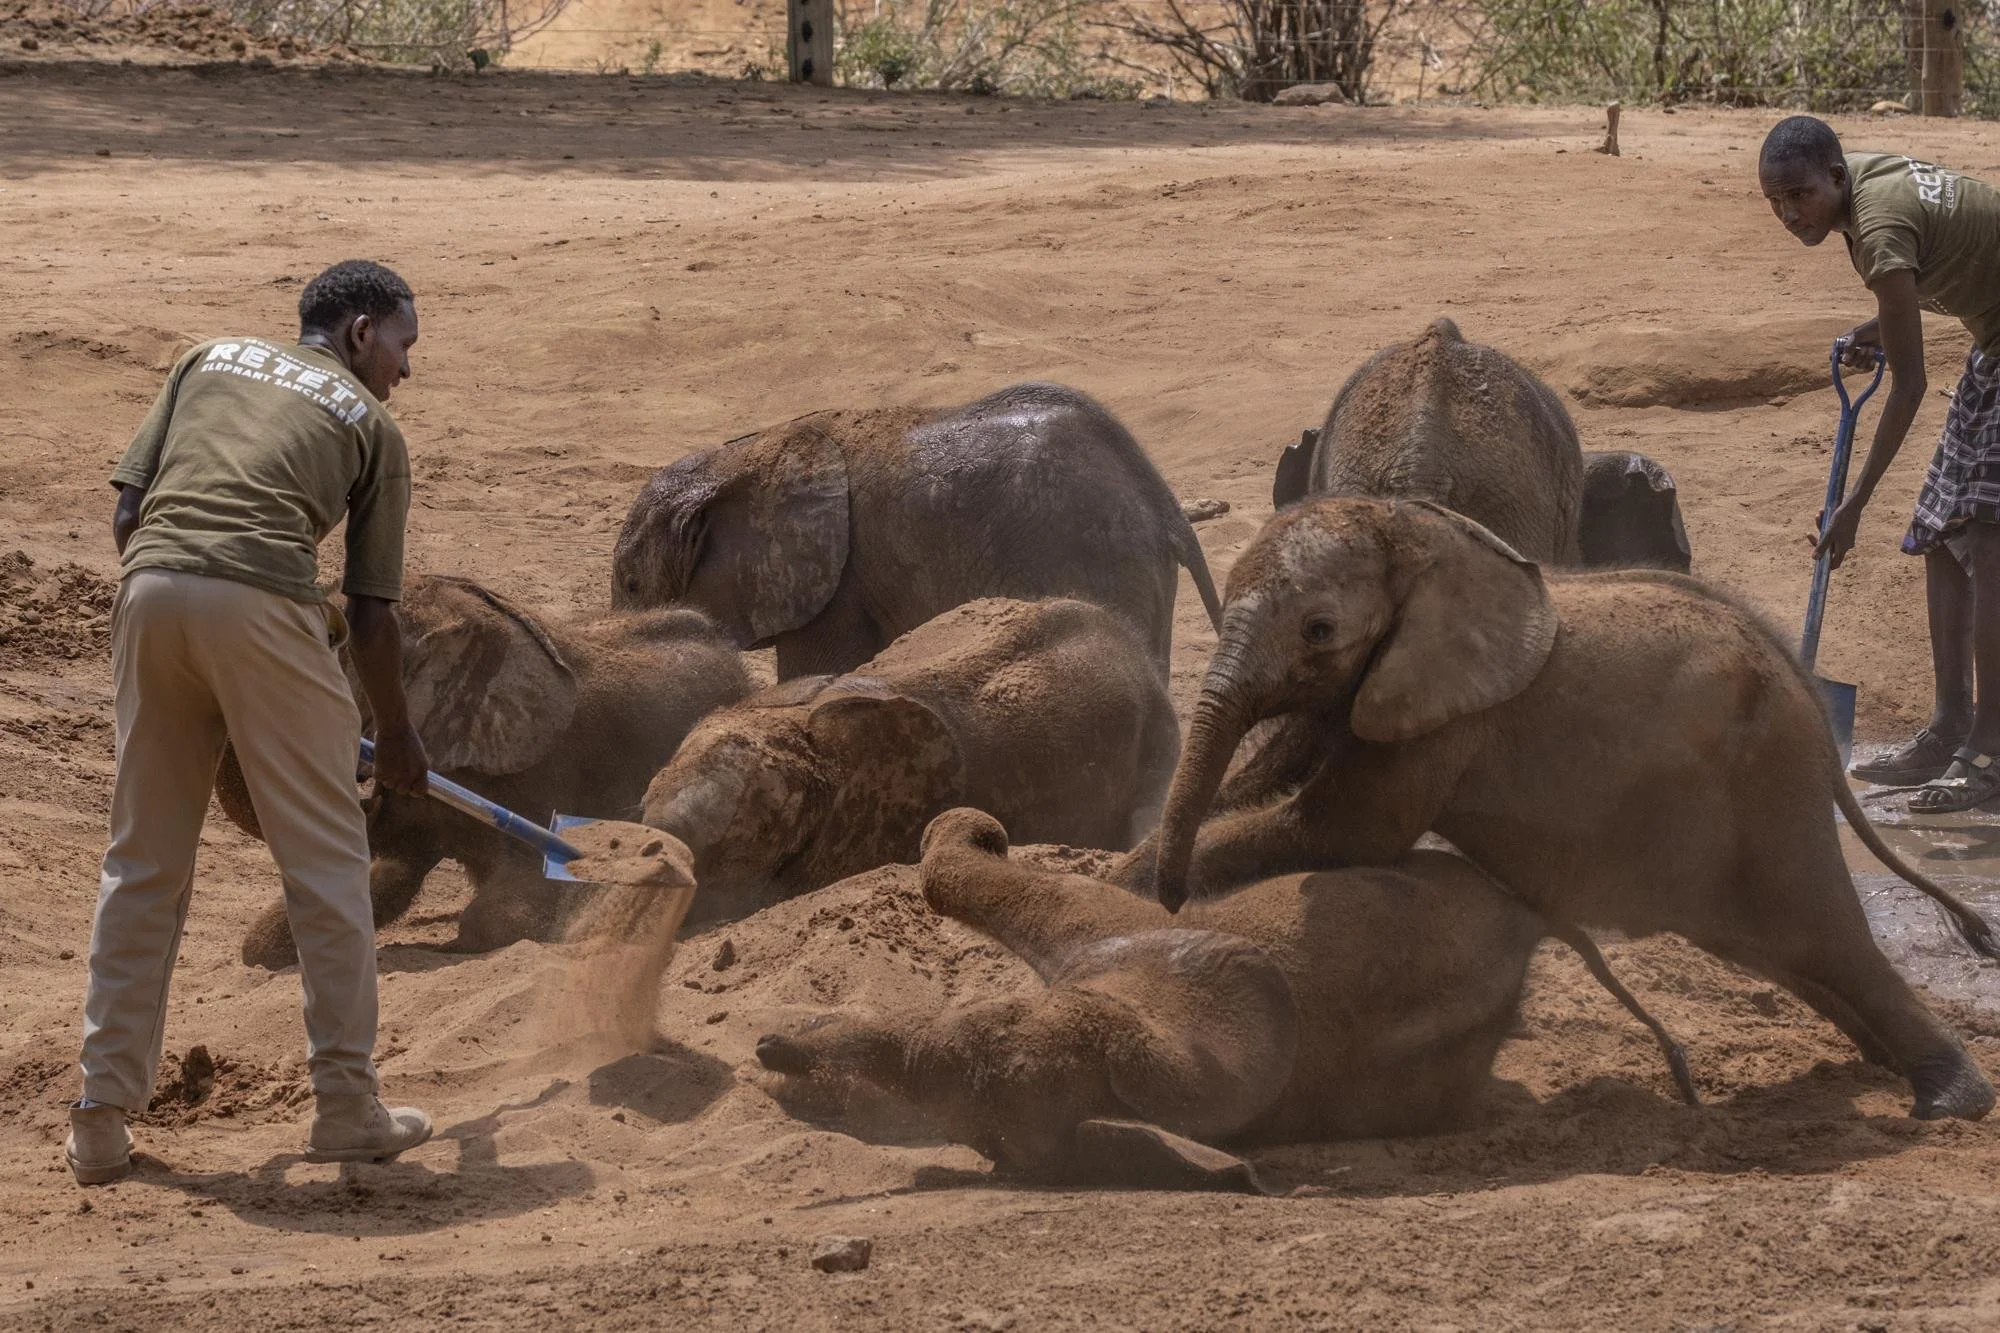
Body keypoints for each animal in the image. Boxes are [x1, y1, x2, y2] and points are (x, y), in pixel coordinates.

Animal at [756, 809, 1691, 1189]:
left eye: (996, 1017)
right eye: (986, 1147)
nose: (765, 1047)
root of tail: (1530, 922)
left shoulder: (1130, 951)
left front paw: (977, 829)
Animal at [1116, 497, 2000, 1120]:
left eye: (1319, 629)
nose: (1174, 897)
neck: (1416, 529)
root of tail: (1812, 696)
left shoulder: (1450, 713)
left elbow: (1346, 826)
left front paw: (1144, 881)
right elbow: (1279, 778)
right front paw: (1137, 870)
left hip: (1770, 785)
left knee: (1824, 931)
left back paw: (1948, 1098)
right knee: (1785, 951)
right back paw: (1881, 1067)